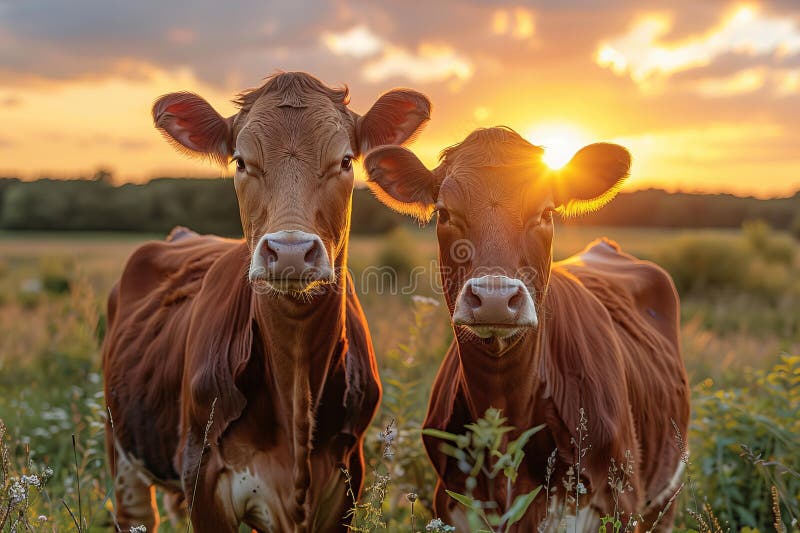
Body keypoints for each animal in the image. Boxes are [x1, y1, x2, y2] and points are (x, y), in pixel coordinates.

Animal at [102, 72, 431, 532]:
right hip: (121, 447)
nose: (290, 251)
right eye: (241, 162)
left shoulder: (347, 478)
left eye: (346, 160)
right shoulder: (202, 477)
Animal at [364, 127, 690, 532]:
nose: (494, 297)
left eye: (546, 212)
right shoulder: (453, 503)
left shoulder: (616, 505)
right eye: (444, 213)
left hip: (664, 501)